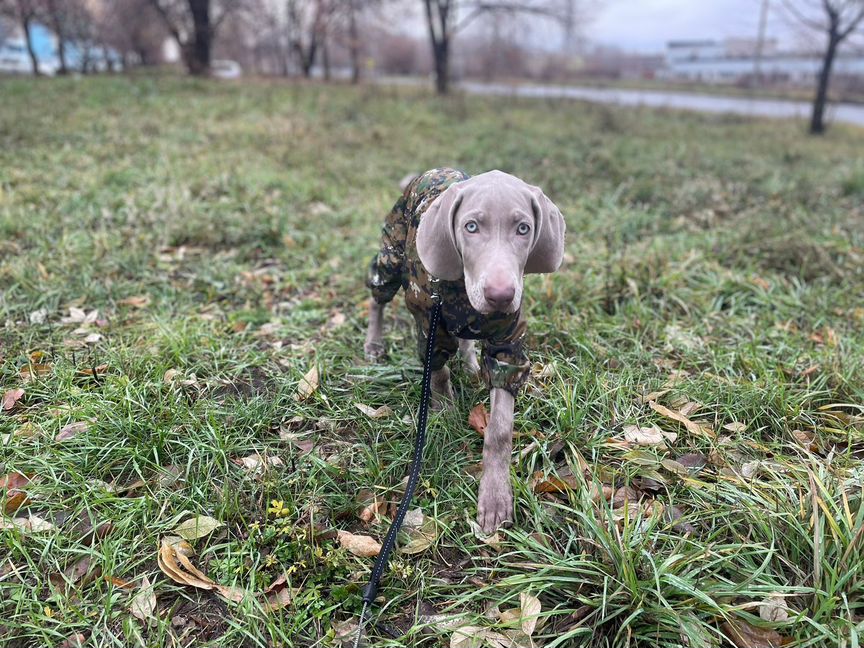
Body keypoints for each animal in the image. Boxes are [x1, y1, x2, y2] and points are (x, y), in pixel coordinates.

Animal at [364, 167, 568, 532]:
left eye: (524, 228)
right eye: (471, 227)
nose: (500, 295)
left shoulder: (507, 346)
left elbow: (500, 429)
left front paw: (495, 498)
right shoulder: (428, 322)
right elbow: (438, 371)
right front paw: (445, 411)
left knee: (466, 338)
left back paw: (471, 364)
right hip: (391, 254)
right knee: (377, 292)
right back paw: (374, 342)